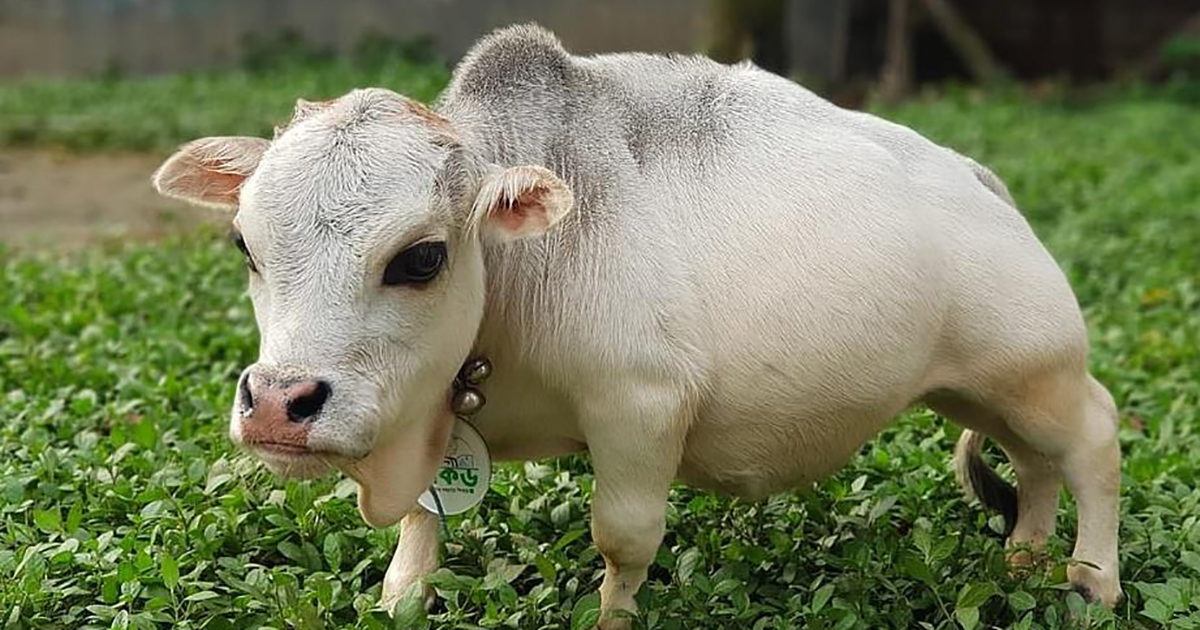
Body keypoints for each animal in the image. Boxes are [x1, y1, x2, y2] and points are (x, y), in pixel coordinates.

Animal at [152, 24, 1122, 627]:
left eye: (421, 258)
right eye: (245, 243)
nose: (277, 405)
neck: (513, 286)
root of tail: (982, 183)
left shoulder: (641, 408)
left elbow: (623, 539)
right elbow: (422, 526)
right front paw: (401, 599)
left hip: (1035, 374)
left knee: (1094, 441)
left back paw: (1093, 581)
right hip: (977, 394)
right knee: (1036, 467)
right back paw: (1023, 562)